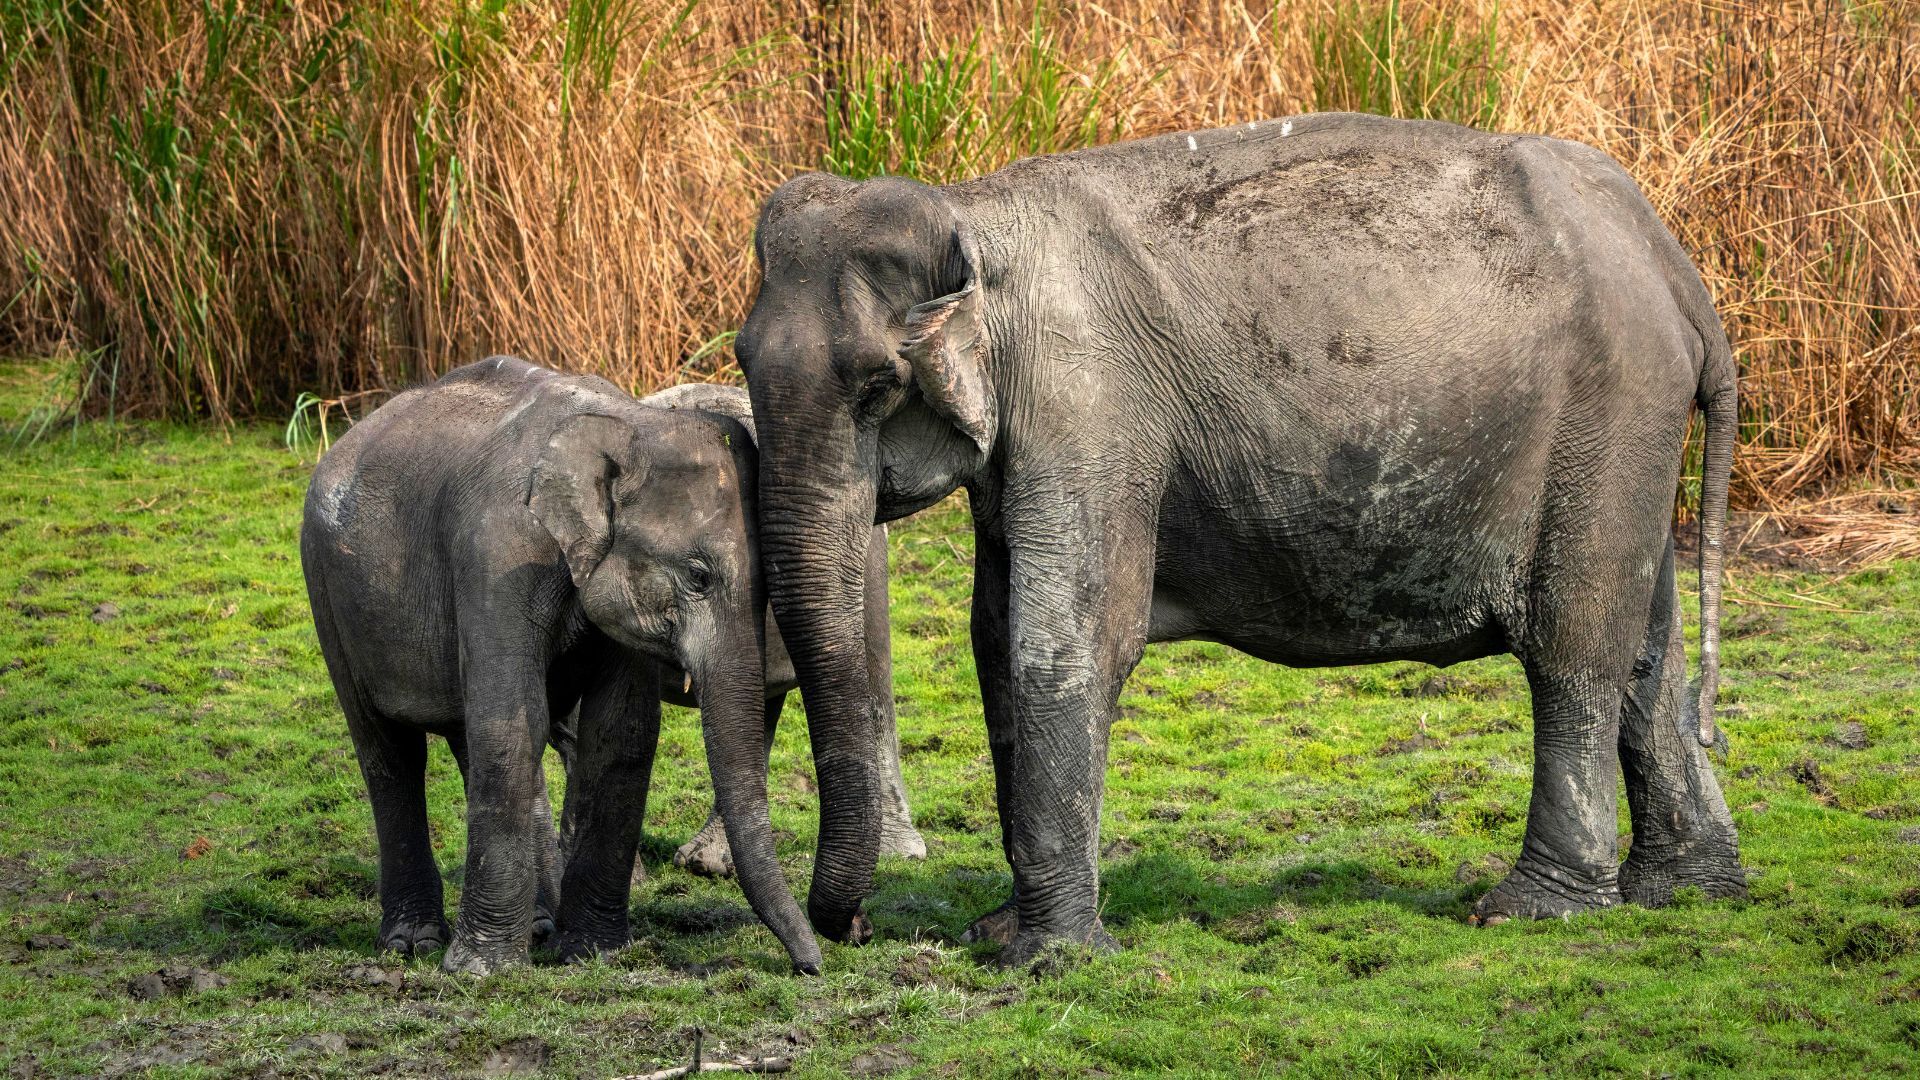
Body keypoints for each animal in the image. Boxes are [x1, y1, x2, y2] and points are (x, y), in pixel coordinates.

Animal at [300, 356, 922, 976]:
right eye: (698, 575)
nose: (845, 942)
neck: (627, 426)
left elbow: (620, 733)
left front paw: (594, 953)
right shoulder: (496, 557)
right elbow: (514, 724)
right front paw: (481, 971)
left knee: (463, 737)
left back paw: (537, 927)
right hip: (325, 584)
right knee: (388, 750)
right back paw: (415, 943)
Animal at [735, 111, 1748, 966]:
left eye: (878, 384)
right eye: (740, 359)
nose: (855, 931)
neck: (972, 212)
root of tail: (1676, 270)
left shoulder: (1084, 404)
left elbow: (1065, 643)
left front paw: (1047, 959)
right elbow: (992, 639)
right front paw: (1000, 931)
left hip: (1609, 413)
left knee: (1574, 648)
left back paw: (1532, 909)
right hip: (1633, 434)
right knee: (1647, 648)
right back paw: (1686, 892)